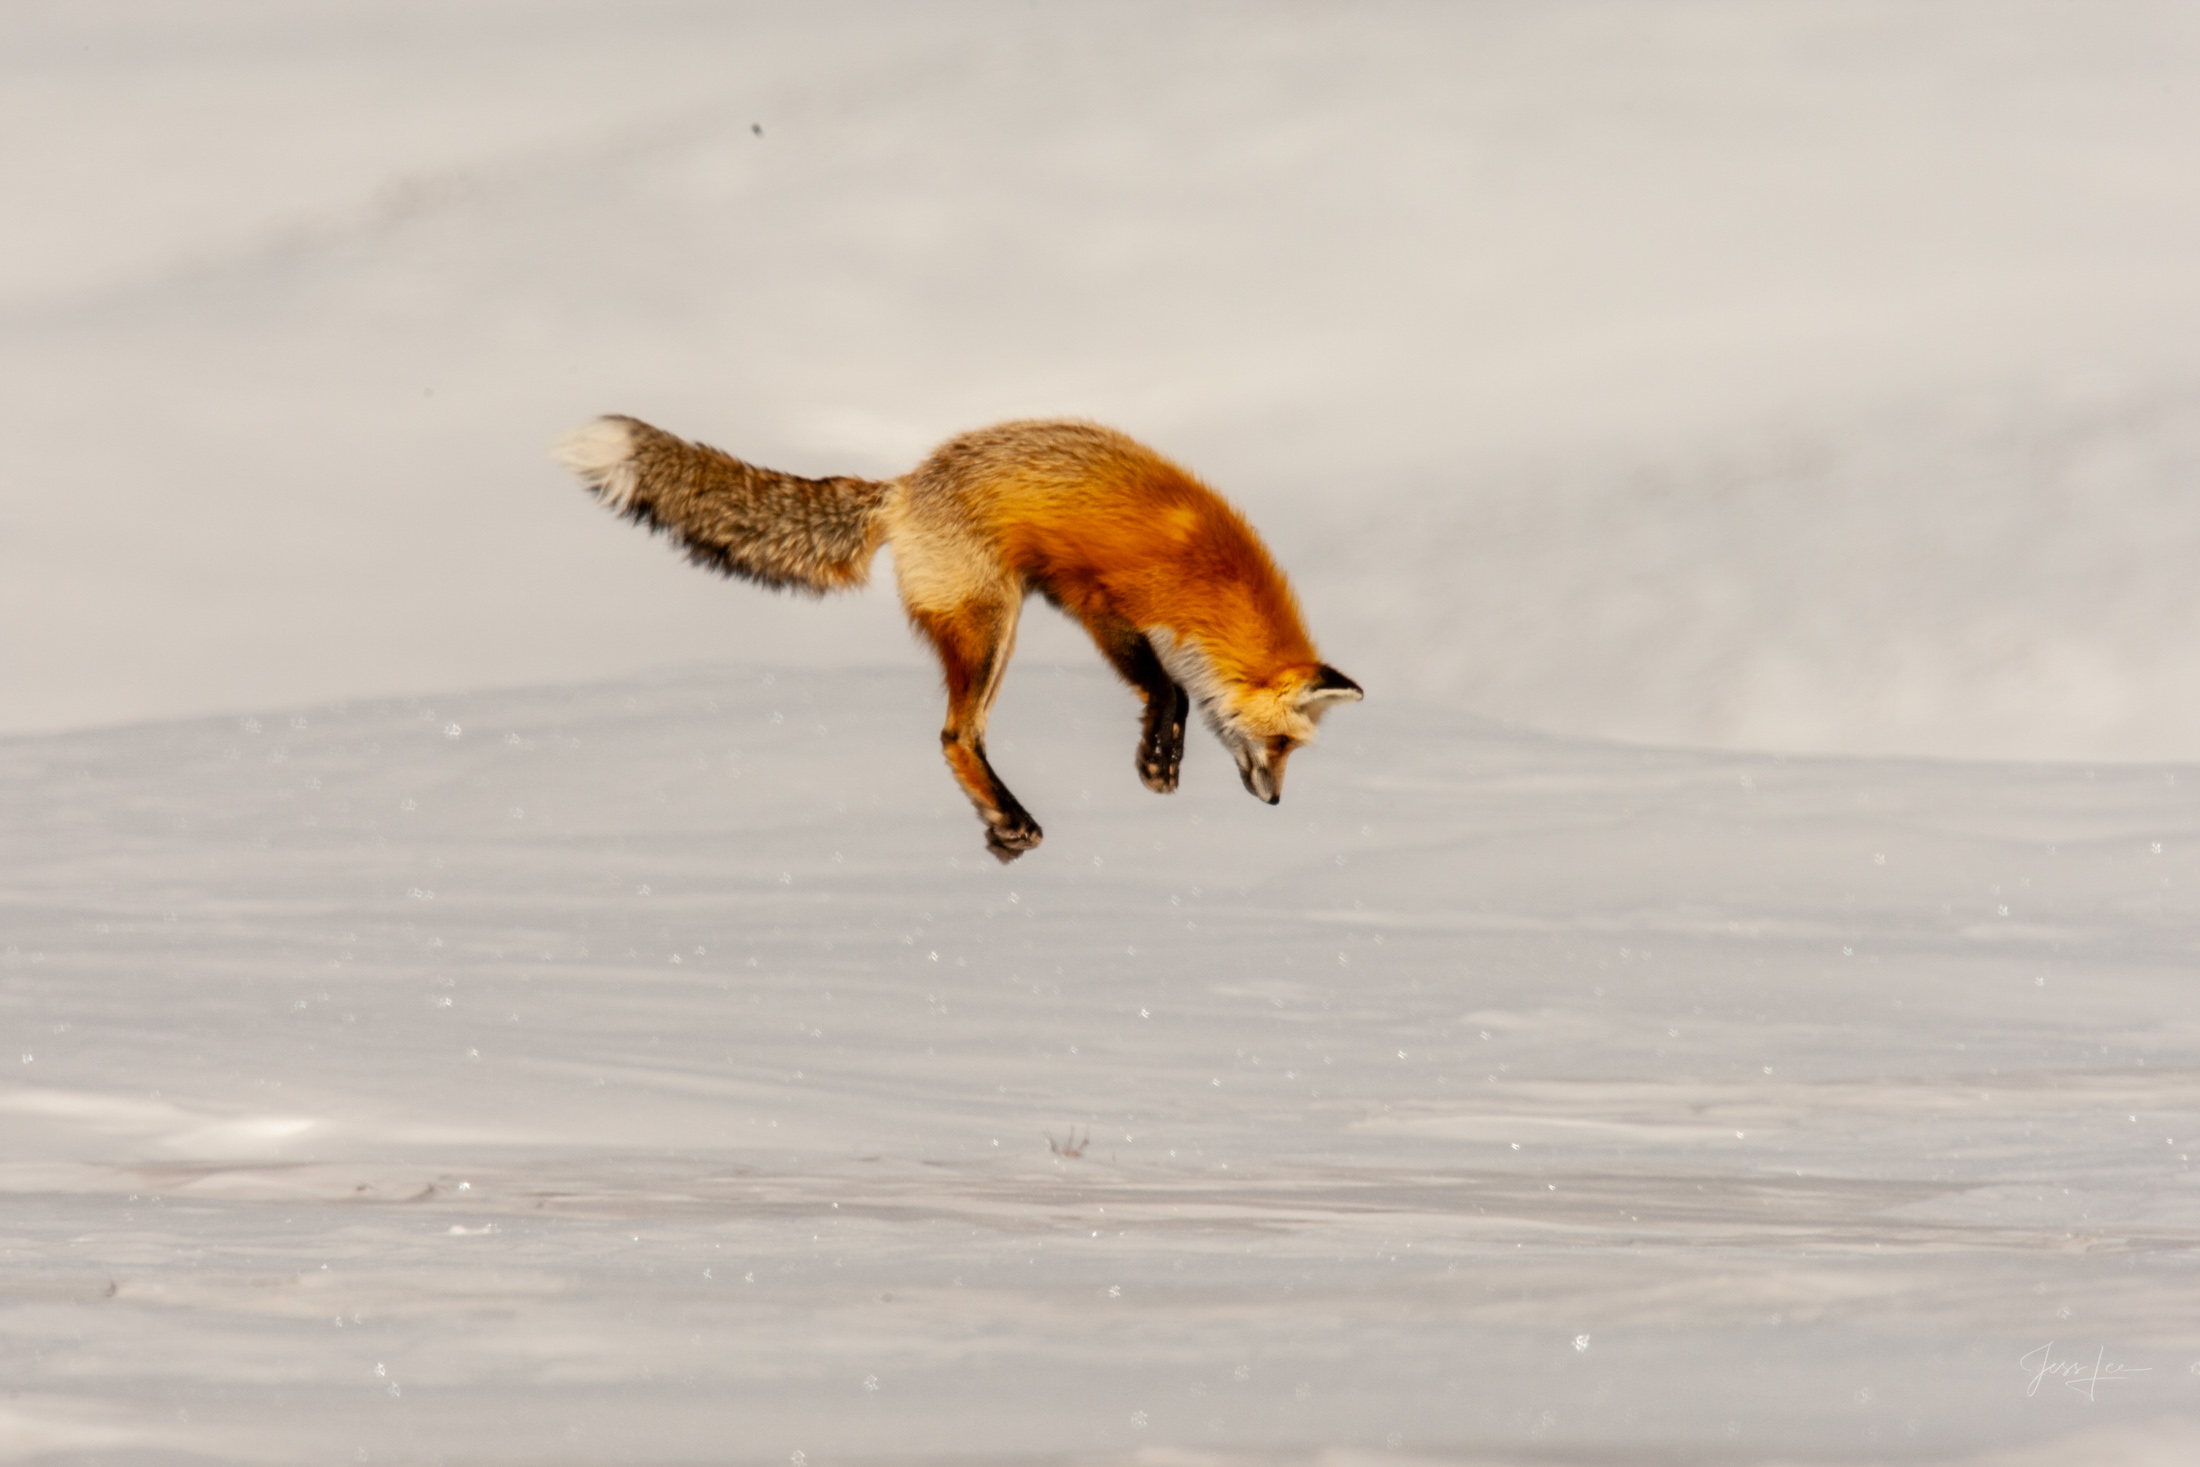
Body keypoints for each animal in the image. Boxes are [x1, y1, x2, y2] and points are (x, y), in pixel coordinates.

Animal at [553, 415, 1361, 862]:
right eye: (1282, 745)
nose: (1276, 803)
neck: (1215, 588)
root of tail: (904, 484)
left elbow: (1172, 692)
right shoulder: (1100, 600)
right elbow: (1171, 690)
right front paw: (1159, 757)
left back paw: (1000, 828)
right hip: (990, 624)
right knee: (955, 734)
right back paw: (1012, 819)